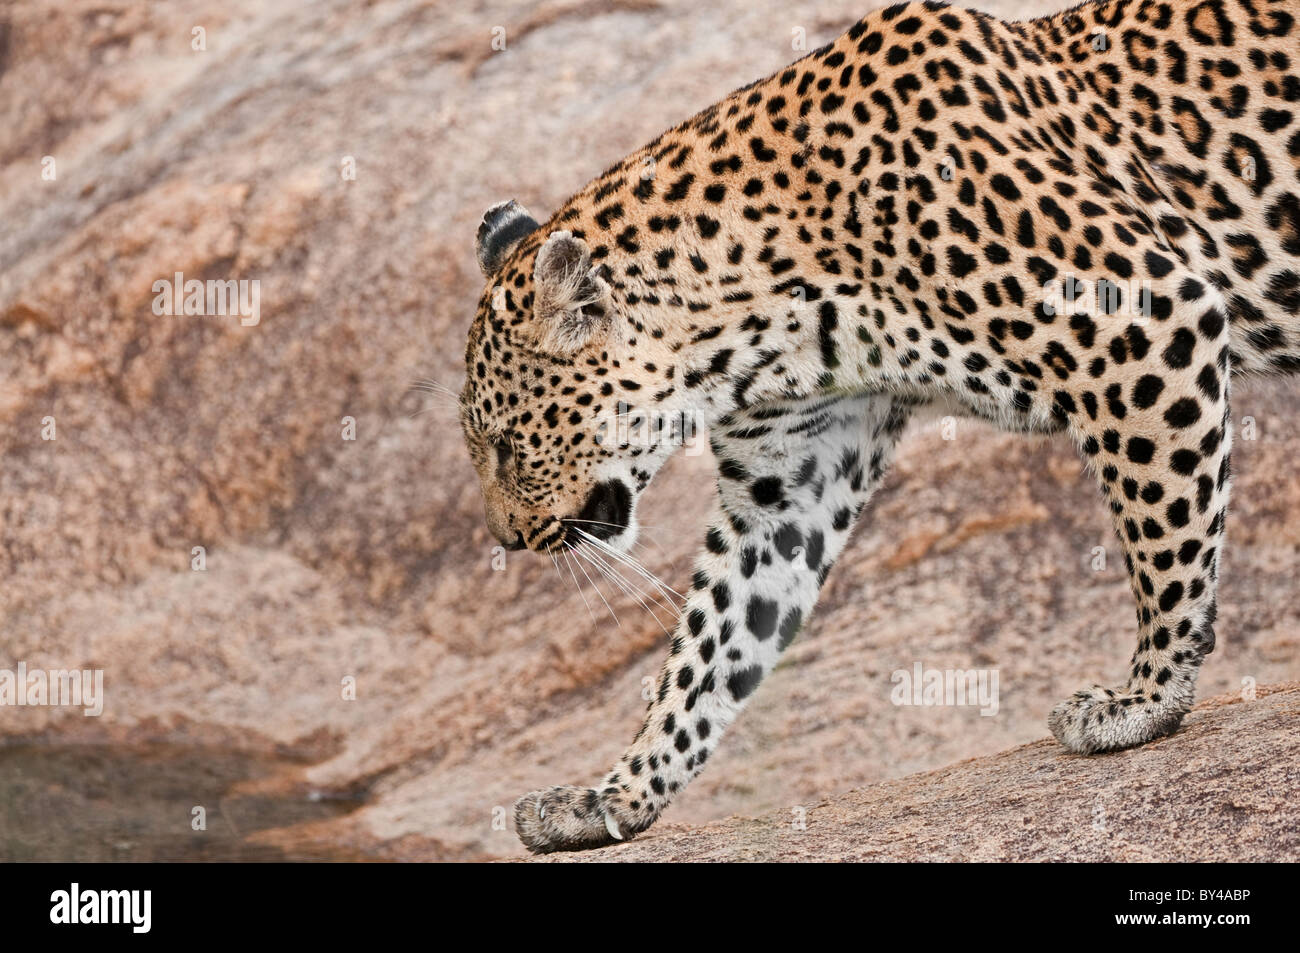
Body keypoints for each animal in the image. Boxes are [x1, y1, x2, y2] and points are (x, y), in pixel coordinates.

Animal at [458, 0, 1300, 853]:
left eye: (507, 446)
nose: (504, 540)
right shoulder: (790, 482)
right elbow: (713, 644)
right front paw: (613, 794)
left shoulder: (1140, 323)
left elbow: (1166, 540)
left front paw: (1145, 699)